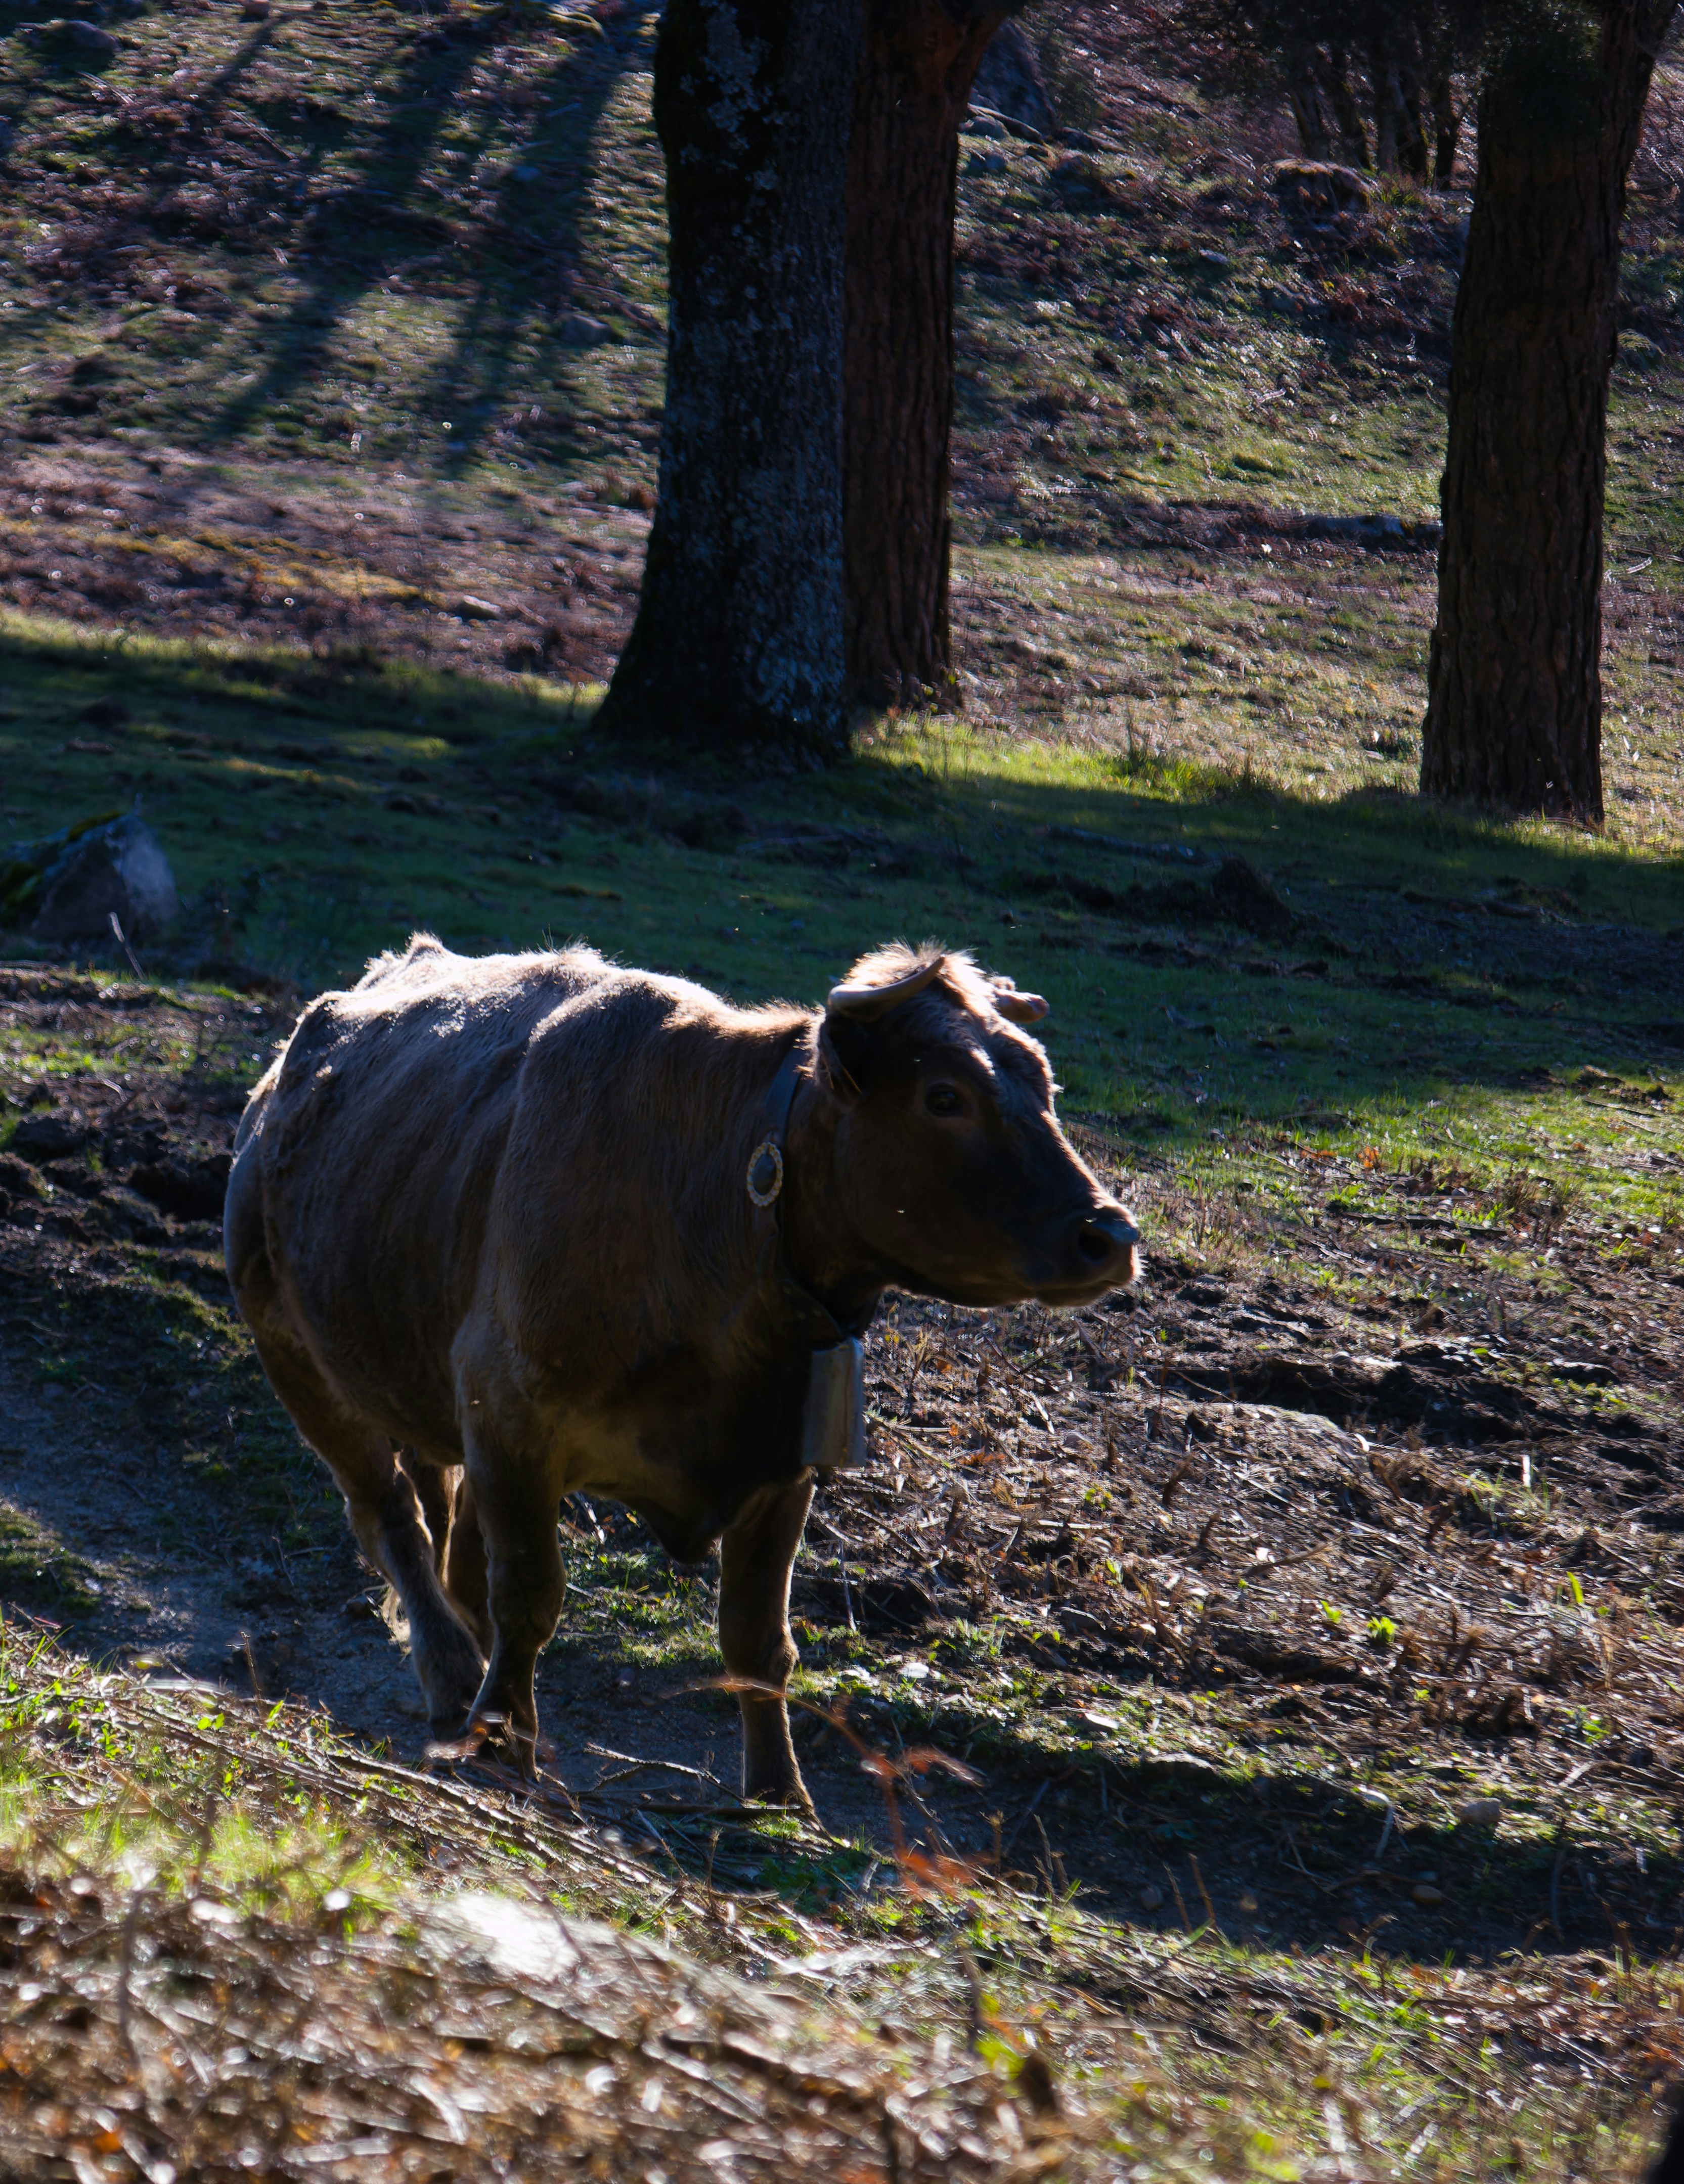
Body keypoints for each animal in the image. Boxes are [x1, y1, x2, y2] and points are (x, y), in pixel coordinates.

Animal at [224, 935, 1141, 1810]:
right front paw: (504, 1751)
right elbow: (530, 1598)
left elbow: (756, 1641)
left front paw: (780, 1796)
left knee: (449, 1543)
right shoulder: (512, 1419)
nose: (1109, 1235)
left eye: (1045, 1084)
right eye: (944, 1097)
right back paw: (455, 1685)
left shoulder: (780, 1464)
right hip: (297, 1359)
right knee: (392, 1519)